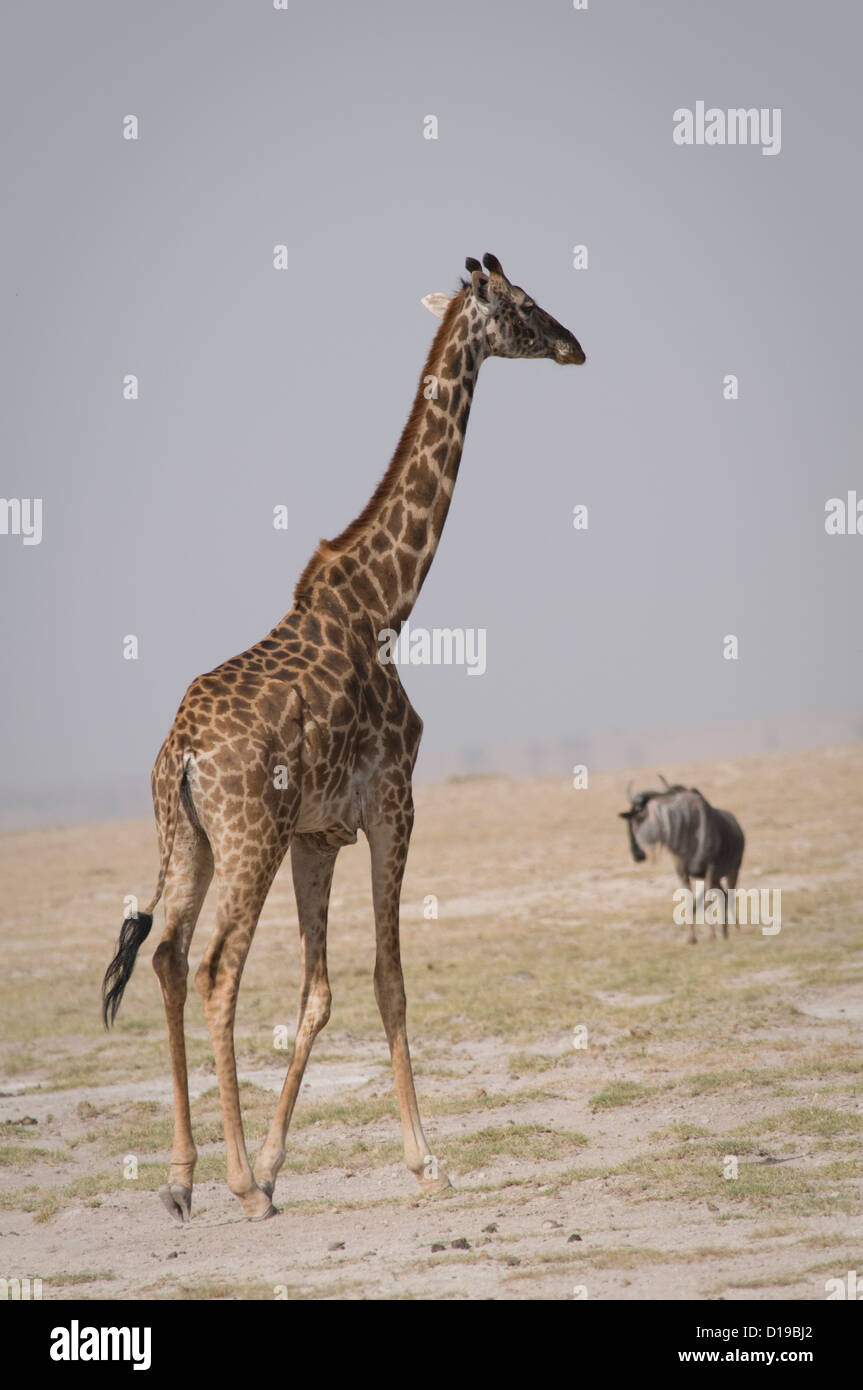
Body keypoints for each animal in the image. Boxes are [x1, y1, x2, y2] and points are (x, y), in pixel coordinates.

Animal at [102, 252, 586, 1222]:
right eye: (522, 304)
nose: (573, 345)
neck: (389, 602)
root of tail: (180, 757)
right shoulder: (393, 804)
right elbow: (387, 981)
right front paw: (424, 1162)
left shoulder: (317, 836)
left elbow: (317, 993)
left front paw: (279, 1159)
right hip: (245, 840)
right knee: (214, 969)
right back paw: (237, 1187)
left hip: (190, 840)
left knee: (167, 955)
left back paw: (182, 1177)